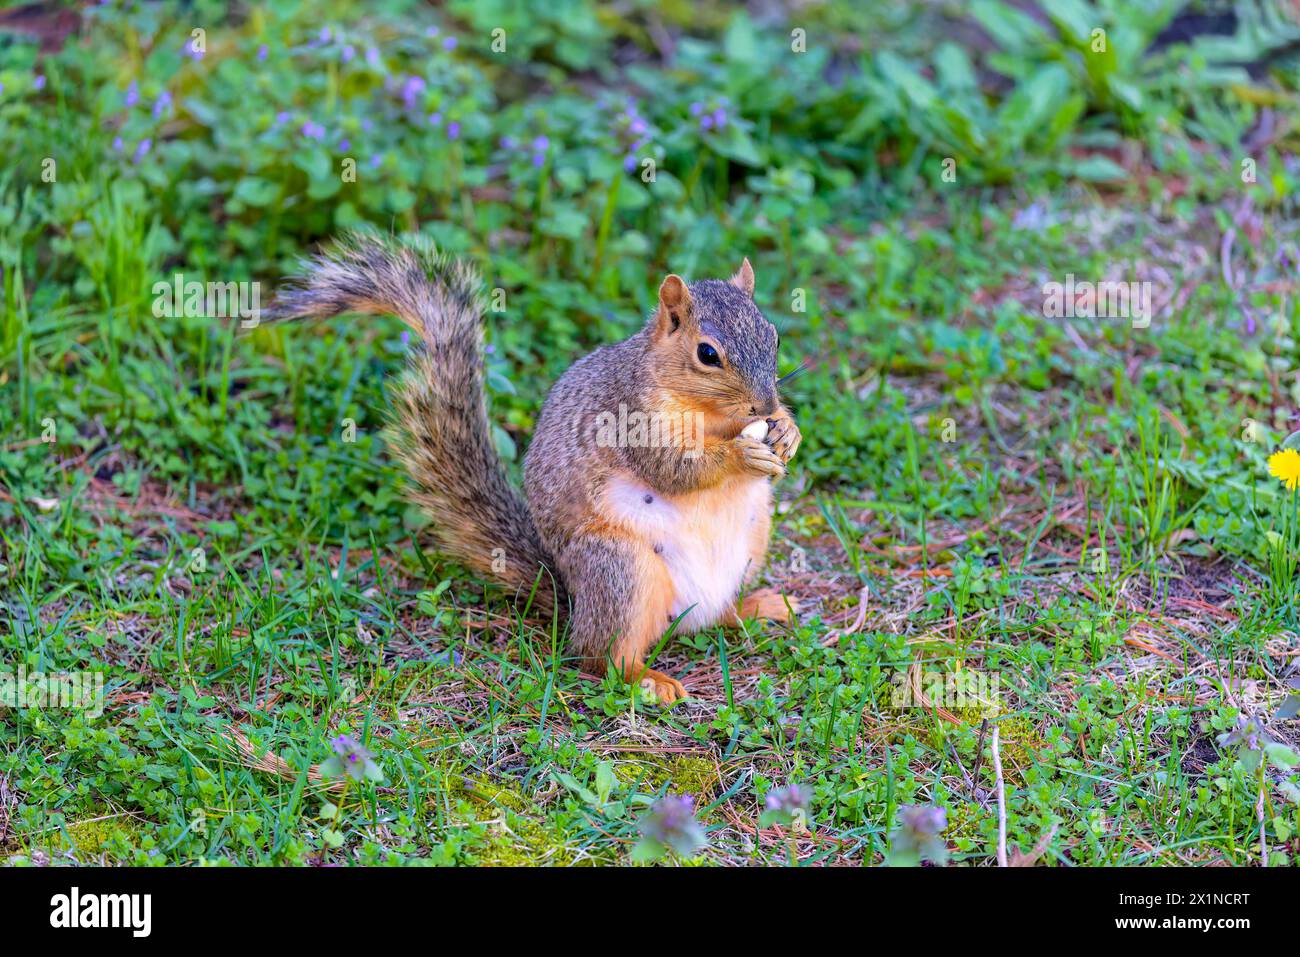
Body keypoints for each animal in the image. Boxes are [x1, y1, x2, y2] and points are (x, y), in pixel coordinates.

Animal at [266, 230, 801, 703]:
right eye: (707, 354)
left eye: (775, 337)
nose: (765, 404)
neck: (712, 415)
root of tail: (574, 601)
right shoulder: (629, 417)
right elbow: (672, 470)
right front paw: (740, 454)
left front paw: (788, 430)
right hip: (620, 569)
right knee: (599, 655)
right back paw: (648, 680)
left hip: (753, 540)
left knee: (715, 617)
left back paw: (760, 605)